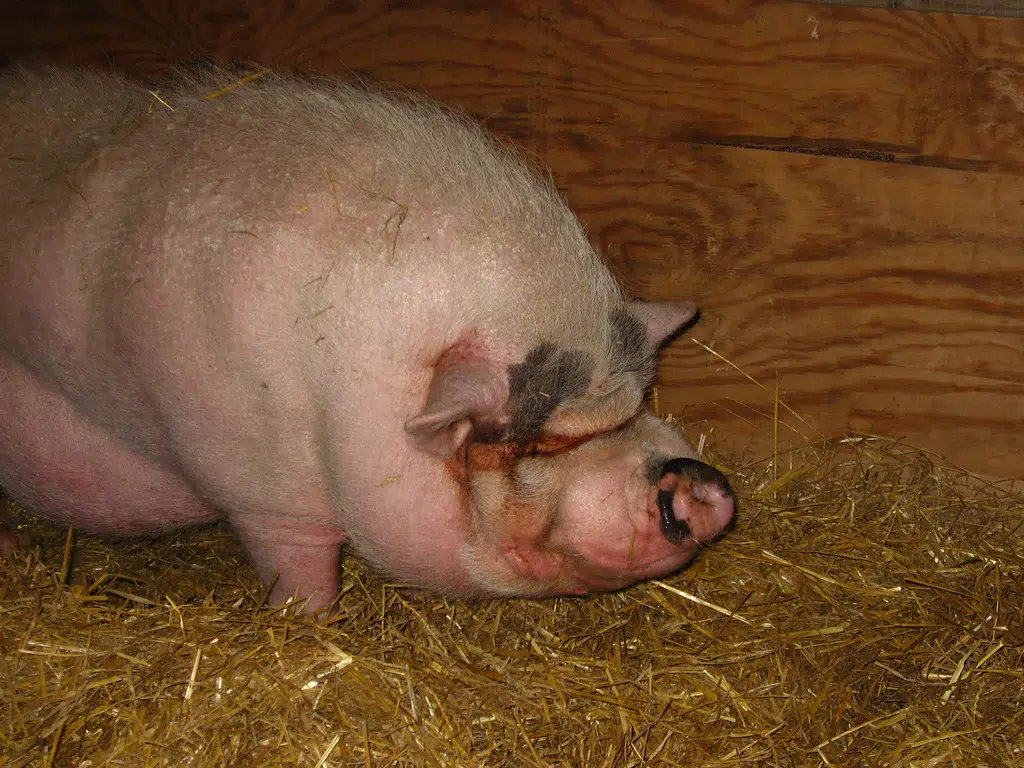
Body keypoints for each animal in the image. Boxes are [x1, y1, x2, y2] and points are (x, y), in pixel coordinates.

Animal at [0, 67, 734, 612]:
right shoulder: (260, 486)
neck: (341, 385)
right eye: (535, 444)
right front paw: (308, 626)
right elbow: (299, 573)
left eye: (638, 406)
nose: (701, 479)